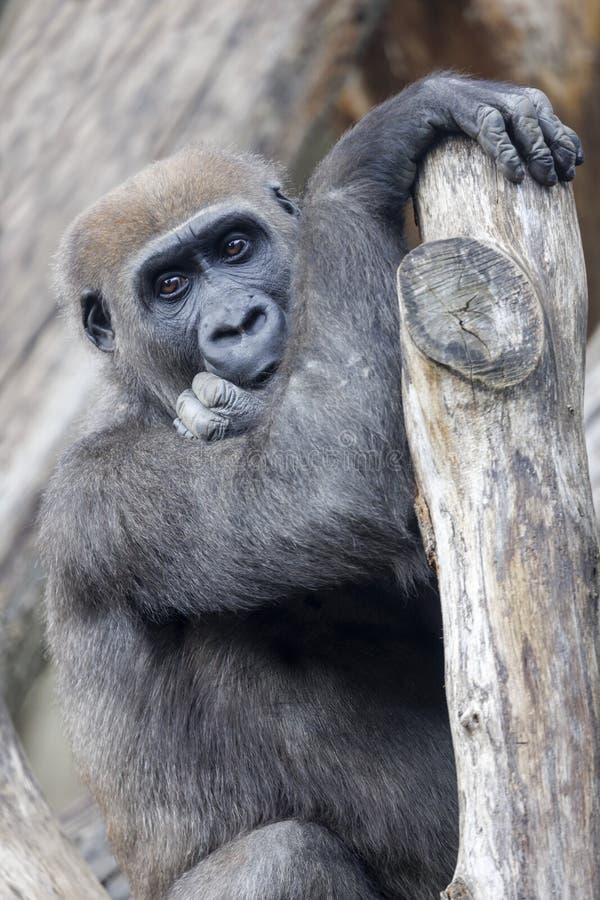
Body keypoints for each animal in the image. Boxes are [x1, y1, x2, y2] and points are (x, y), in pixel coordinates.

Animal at [39, 74, 582, 899]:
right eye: (170, 286)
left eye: (235, 247)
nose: (237, 322)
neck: (144, 395)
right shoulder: (97, 495)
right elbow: (323, 487)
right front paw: (366, 159)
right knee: (281, 857)